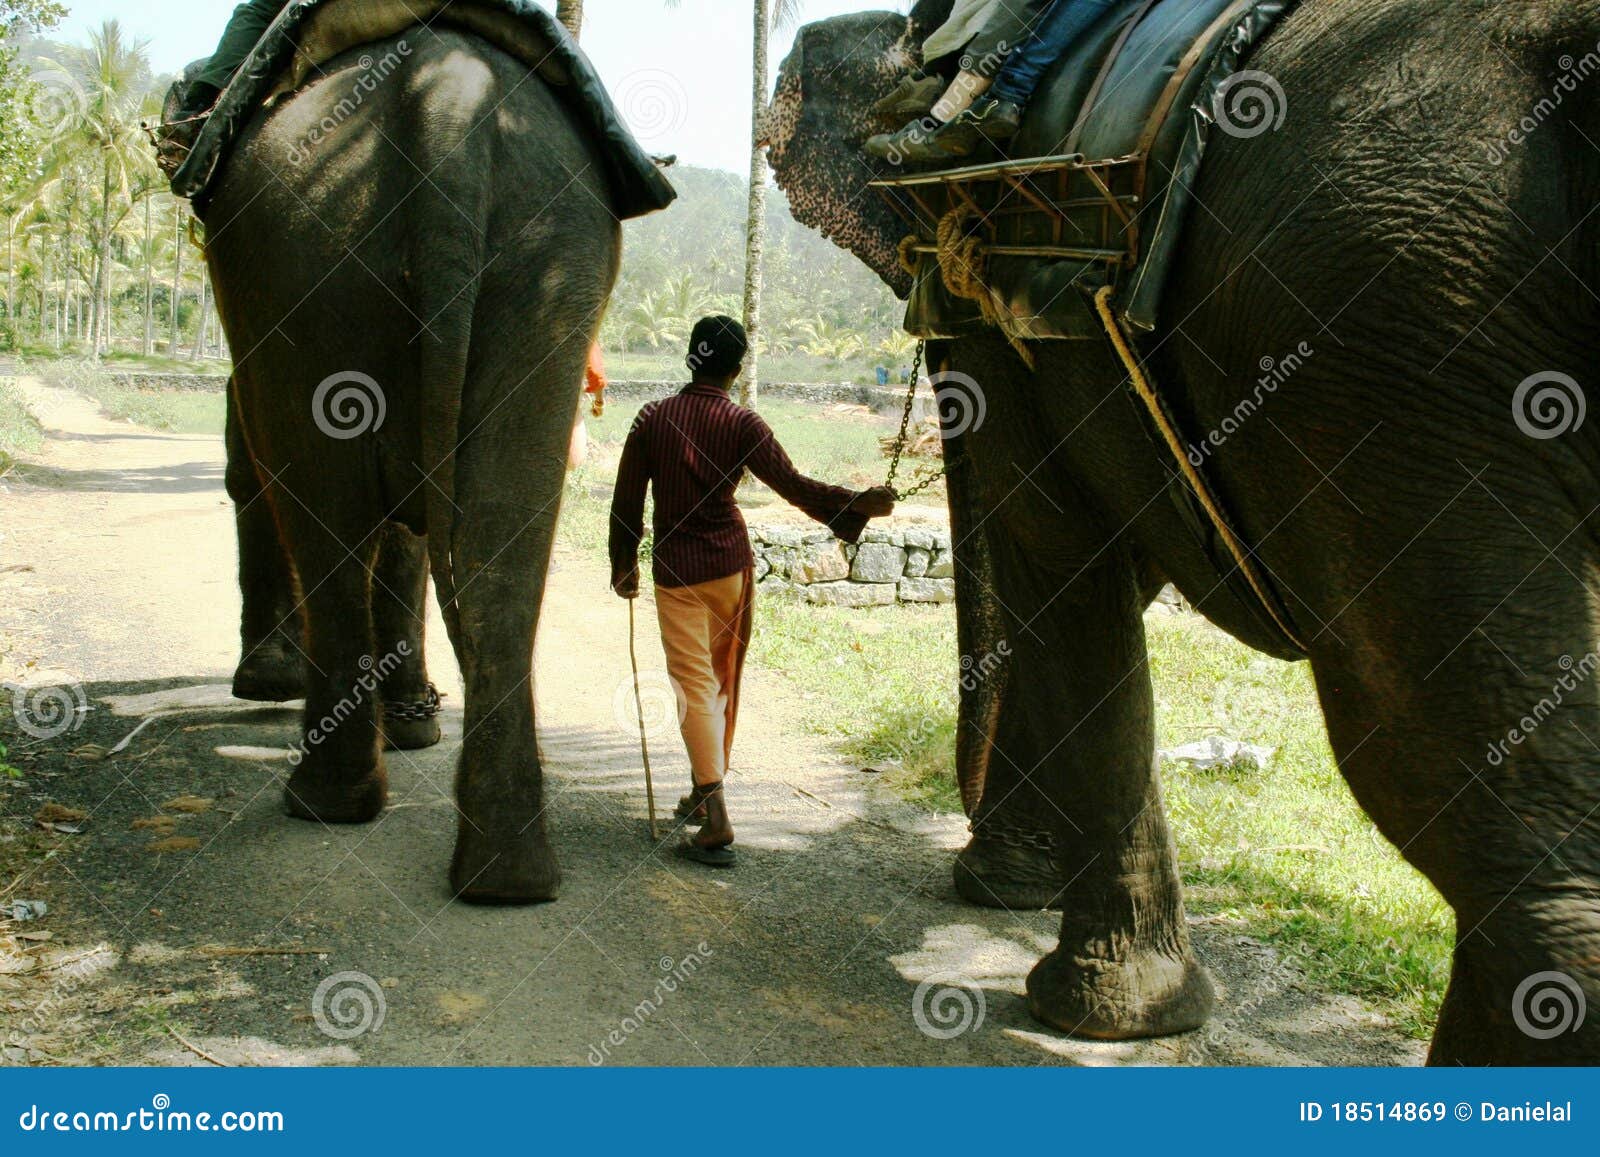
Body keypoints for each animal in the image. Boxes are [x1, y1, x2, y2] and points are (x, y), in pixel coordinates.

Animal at [200, 24, 621, 903]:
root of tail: (447, 97)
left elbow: (257, 467)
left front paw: (273, 687)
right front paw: (414, 720)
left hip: (302, 273)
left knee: (317, 509)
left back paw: (325, 801)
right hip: (550, 259)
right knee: (500, 541)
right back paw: (509, 878)